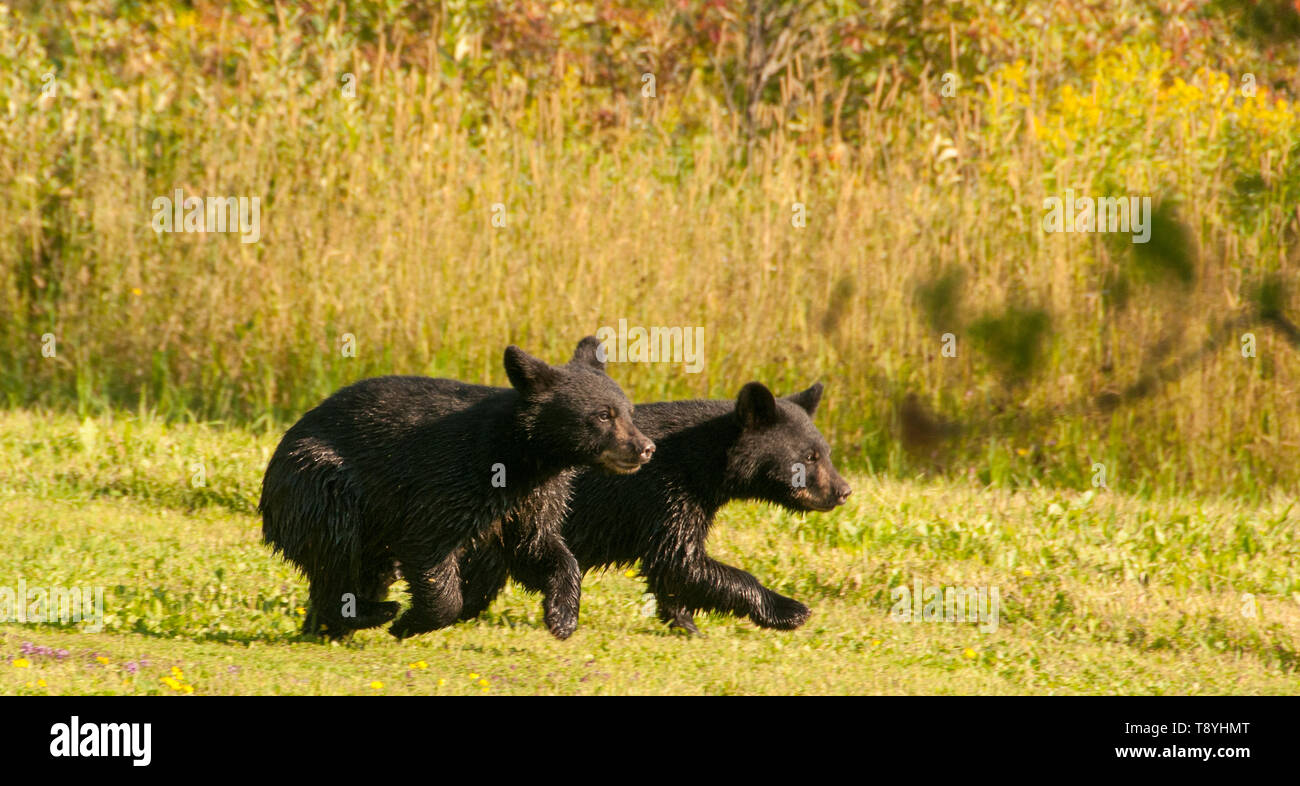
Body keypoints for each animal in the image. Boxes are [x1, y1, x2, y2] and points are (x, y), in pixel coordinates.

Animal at [258, 336, 655, 641]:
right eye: (603, 415)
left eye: (628, 411)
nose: (645, 447)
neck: (524, 459)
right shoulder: (450, 479)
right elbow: (429, 546)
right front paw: (411, 622)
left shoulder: (533, 498)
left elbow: (538, 547)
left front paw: (562, 617)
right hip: (320, 483)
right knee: (338, 550)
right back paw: (373, 612)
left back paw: (329, 625)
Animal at [448, 380, 852, 634]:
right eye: (809, 457)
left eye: (827, 452)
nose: (843, 490)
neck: (701, 462)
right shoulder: (664, 489)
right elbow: (680, 559)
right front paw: (791, 610)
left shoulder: (684, 499)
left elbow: (675, 568)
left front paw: (685, 623)